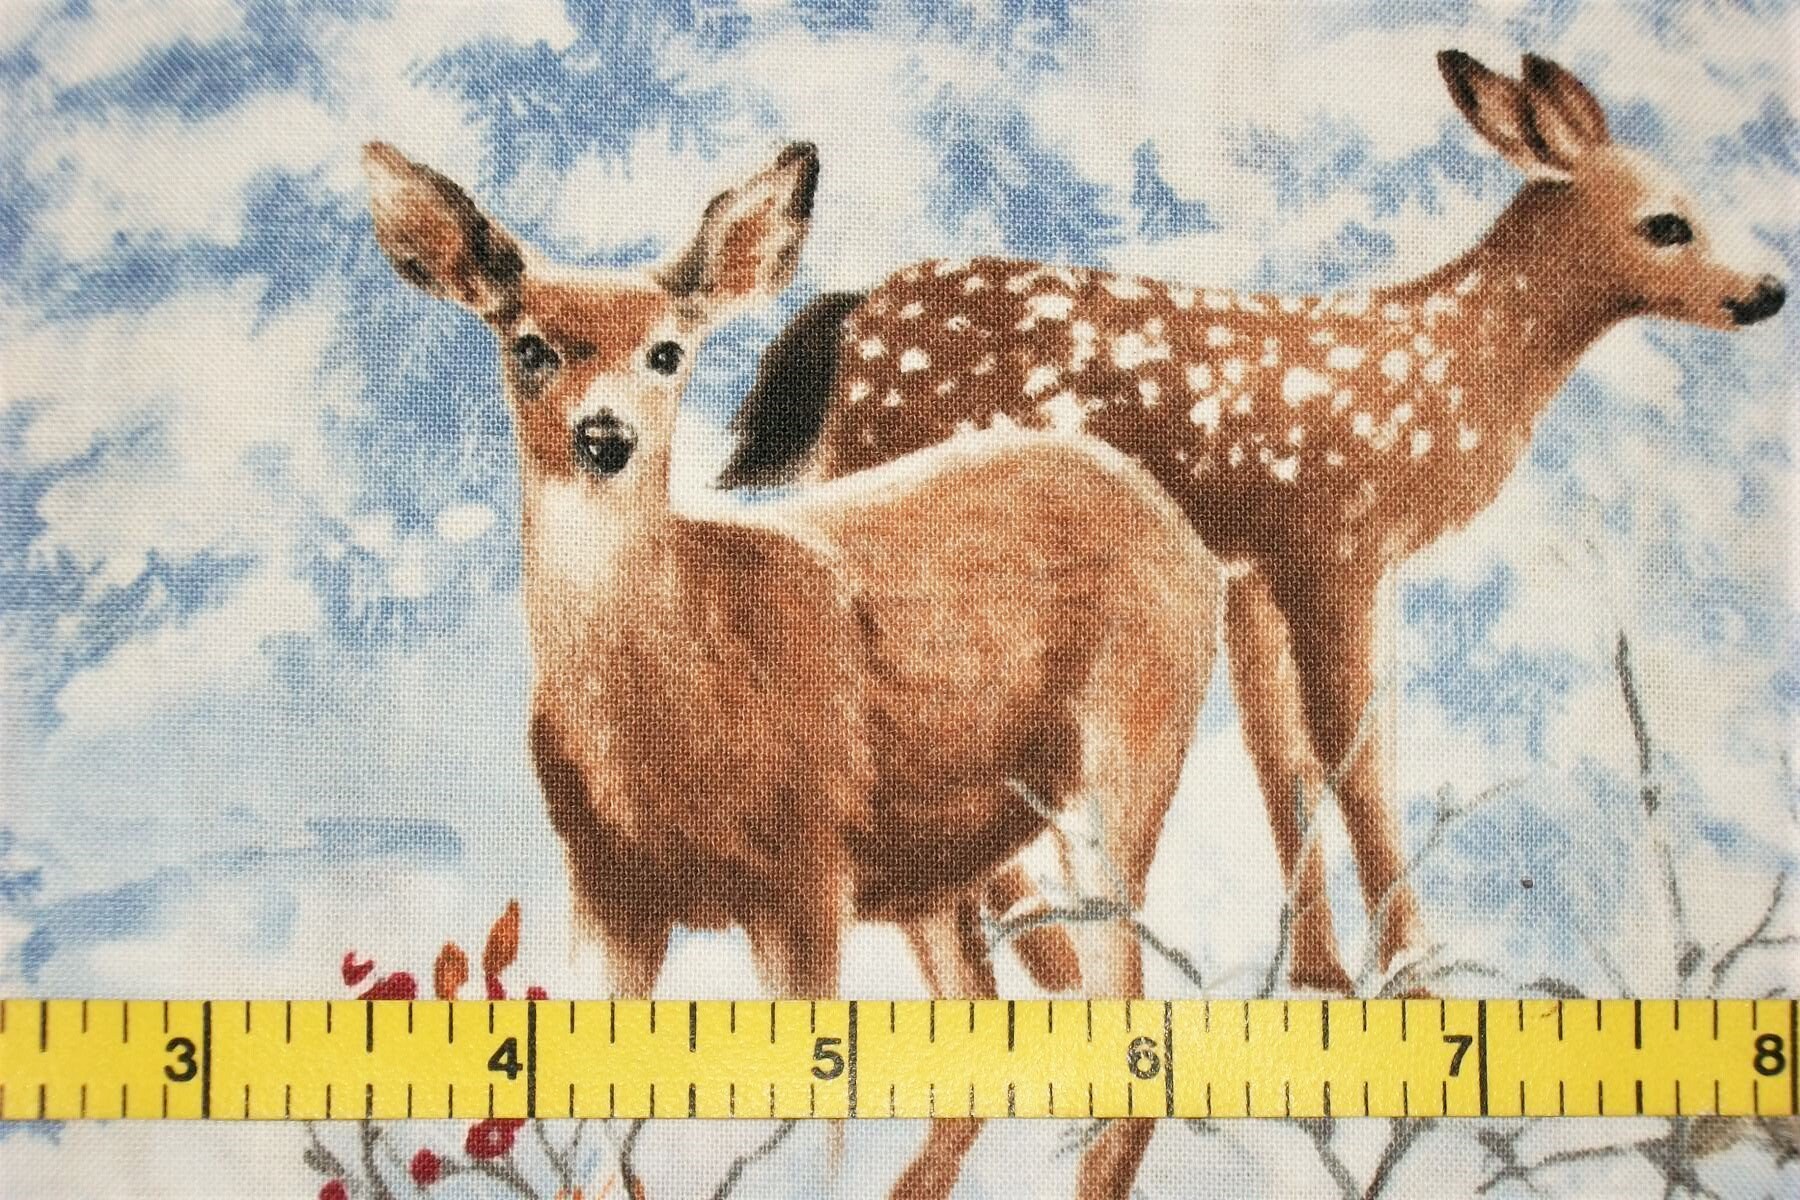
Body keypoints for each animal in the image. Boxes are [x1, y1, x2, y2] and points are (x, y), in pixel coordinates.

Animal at [362, 141, 1221, 1199]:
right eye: (530, 347)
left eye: (667, 352)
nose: (605, 435)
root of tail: (1182, 534)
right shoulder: (603, 880)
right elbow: (603, 1128)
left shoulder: (804, 863)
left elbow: (817, 1120)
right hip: (933, 862)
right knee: (989, 1036)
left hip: (1121, 758)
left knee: (1127, 1021)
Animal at [719, 51, 1788, 1001]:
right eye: (1668, 222)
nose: (1770, 291)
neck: (1443, 369)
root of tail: (847, 321)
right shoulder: (1336, 540)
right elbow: (1356, 752)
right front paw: (1414, 971)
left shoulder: (1255, 569)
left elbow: (1284, 759)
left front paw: (1320, 973)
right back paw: (1053, 960)